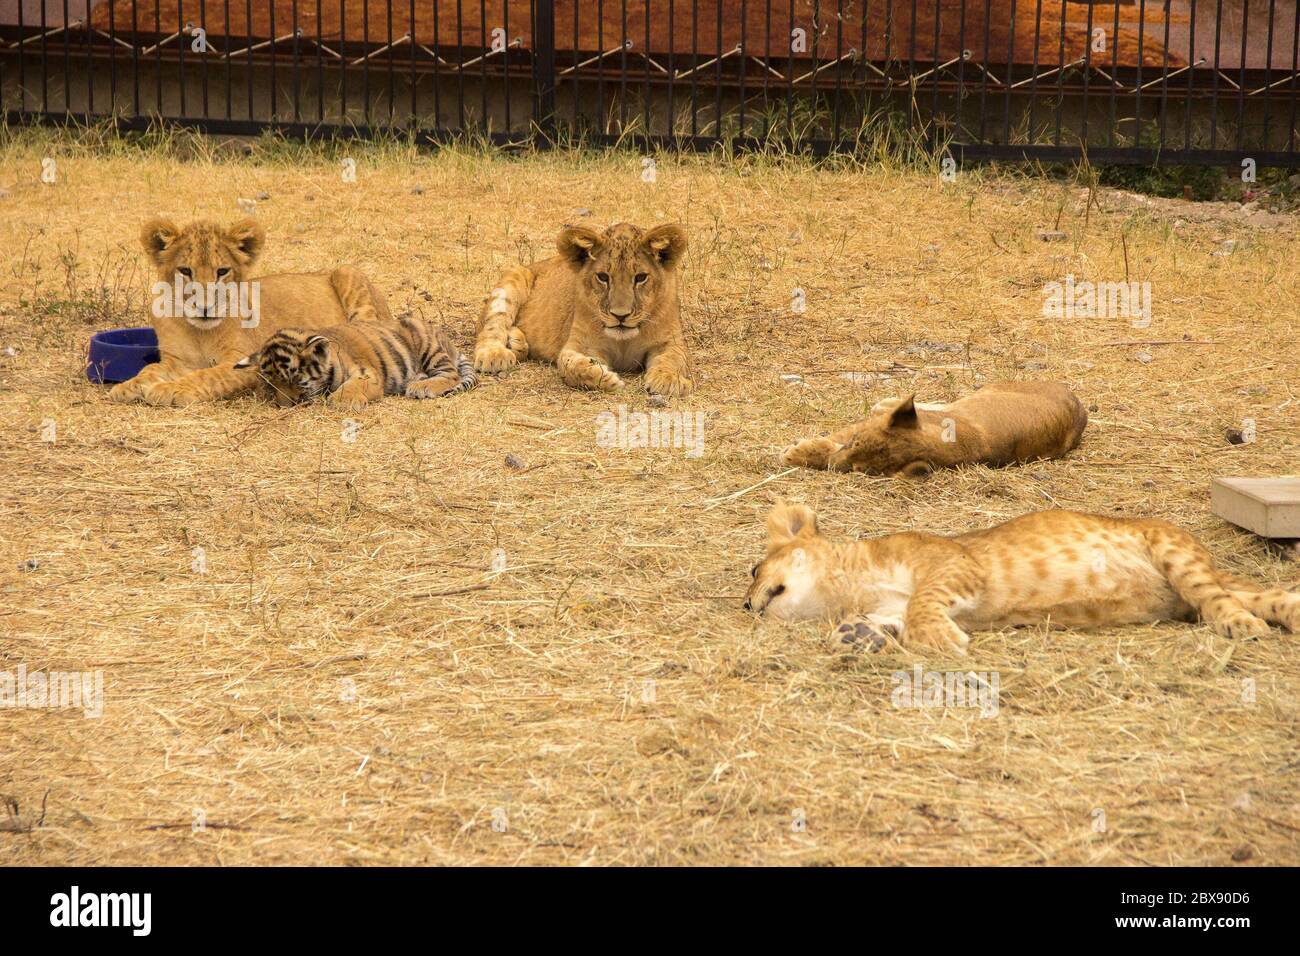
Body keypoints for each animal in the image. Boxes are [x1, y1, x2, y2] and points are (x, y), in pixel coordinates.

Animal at [107, 217, 391, 406]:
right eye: (185, 271)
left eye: (222, 271)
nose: (205, 307)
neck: (200, 333)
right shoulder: (177, 361)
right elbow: (150, 369)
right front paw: (127, 387)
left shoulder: (246, 362)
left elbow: (208, 375)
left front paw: (172, 390)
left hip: (347, 272)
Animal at [233, 315, 477, 411]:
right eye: (271, 385)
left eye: (293, 378)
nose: (285, 406)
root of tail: (450, 343)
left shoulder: (366, 373)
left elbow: (351, 386)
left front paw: (344, 401)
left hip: (426, 343)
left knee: (451, 374)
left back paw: (421, 386)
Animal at [472, 222, 693, 397]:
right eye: (603, 277)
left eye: (640, 277)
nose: (620, 316)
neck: (624, 341)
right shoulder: (581, 345)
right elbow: (572, 365)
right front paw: (605, 377)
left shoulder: (671, 341)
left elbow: (673, 359)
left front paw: (667, 381)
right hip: (511, 282)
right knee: (490, 326)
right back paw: (495, 355)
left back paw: (517, 343)